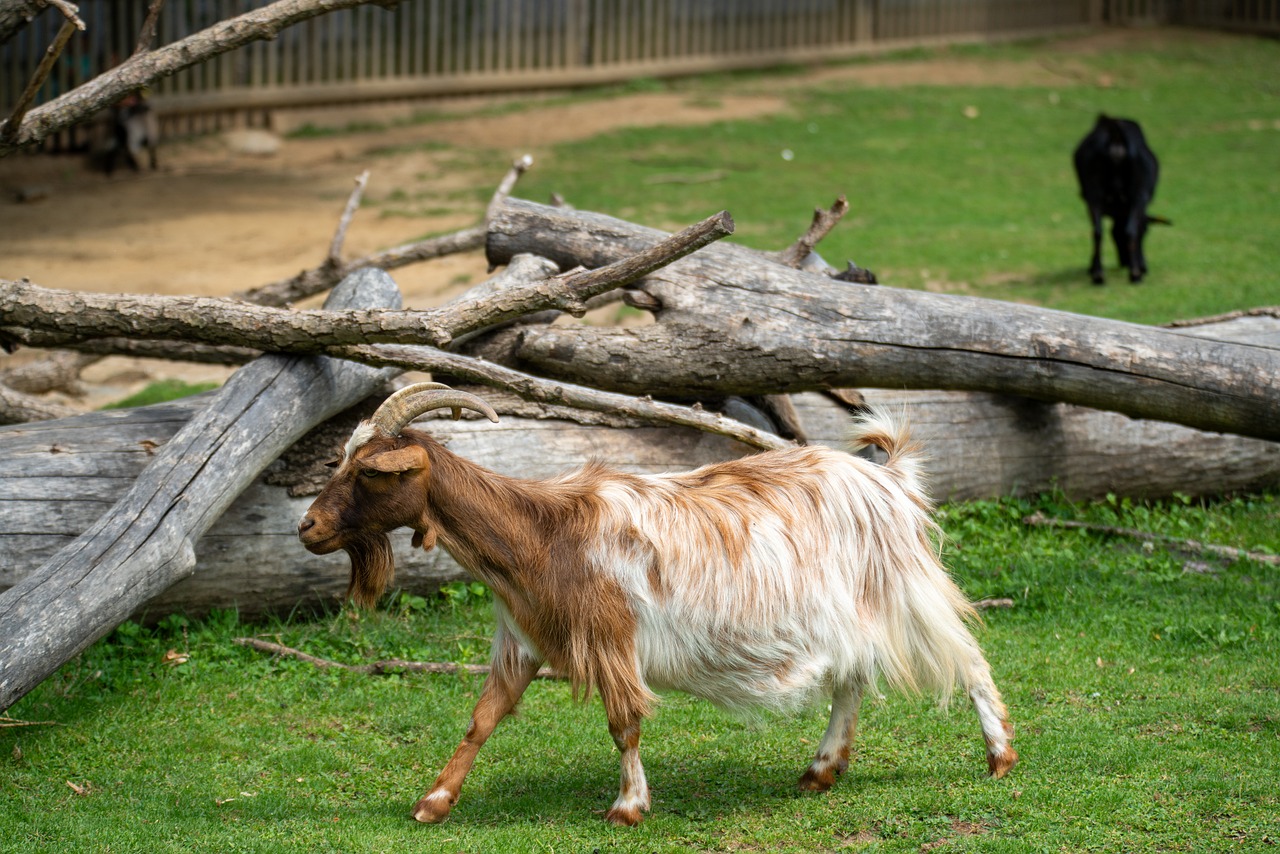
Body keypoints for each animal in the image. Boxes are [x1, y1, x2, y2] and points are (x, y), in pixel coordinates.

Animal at [297, 383, 1018, 827]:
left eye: (370, 474)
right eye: (340, 461)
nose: (307, 527)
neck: (544, 534)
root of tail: (888, 478)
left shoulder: (612, 636)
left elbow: (625, 724)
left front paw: (628, 807)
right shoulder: (524, 638)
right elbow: (483, 718)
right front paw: (434, 801)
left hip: (907, 590)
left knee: (970, 659)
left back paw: (1000, 756)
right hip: (850, 614)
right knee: (852, 679)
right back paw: (820, 770)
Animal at [1073, 114, 1169, 284]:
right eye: (1146, 232)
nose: (1124, 262)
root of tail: (1116, 134)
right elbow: (1135, 230)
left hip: (1094, 194)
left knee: (1097, 231)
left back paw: (1098, 274)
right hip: (1137, 194)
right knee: (1130, 230)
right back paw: (1135, 274)